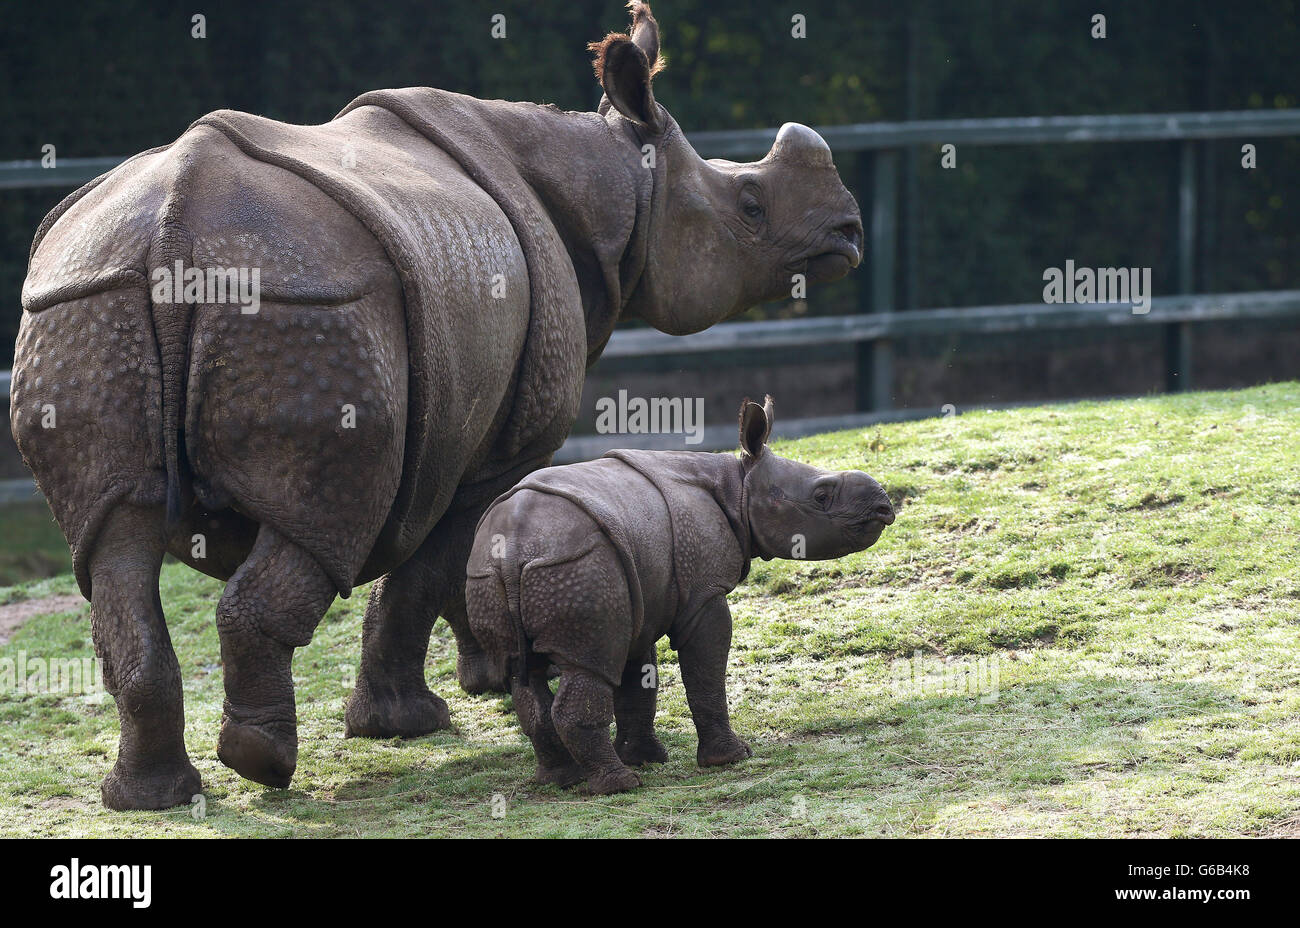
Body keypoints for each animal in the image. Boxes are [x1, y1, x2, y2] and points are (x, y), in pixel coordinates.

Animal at [466, 396, 894, 794]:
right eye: (822, 496)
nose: (883, 506)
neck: (738, 485)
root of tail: (515, 547)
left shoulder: (640, 588)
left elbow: (639, 681)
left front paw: (647, 759)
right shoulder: (702, 593)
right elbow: (706, 669)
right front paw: (730, 758)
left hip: (502, 571)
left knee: (523, 674)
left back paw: (562, 780)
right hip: (576, 564)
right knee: (588, 665)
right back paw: (619, 786)